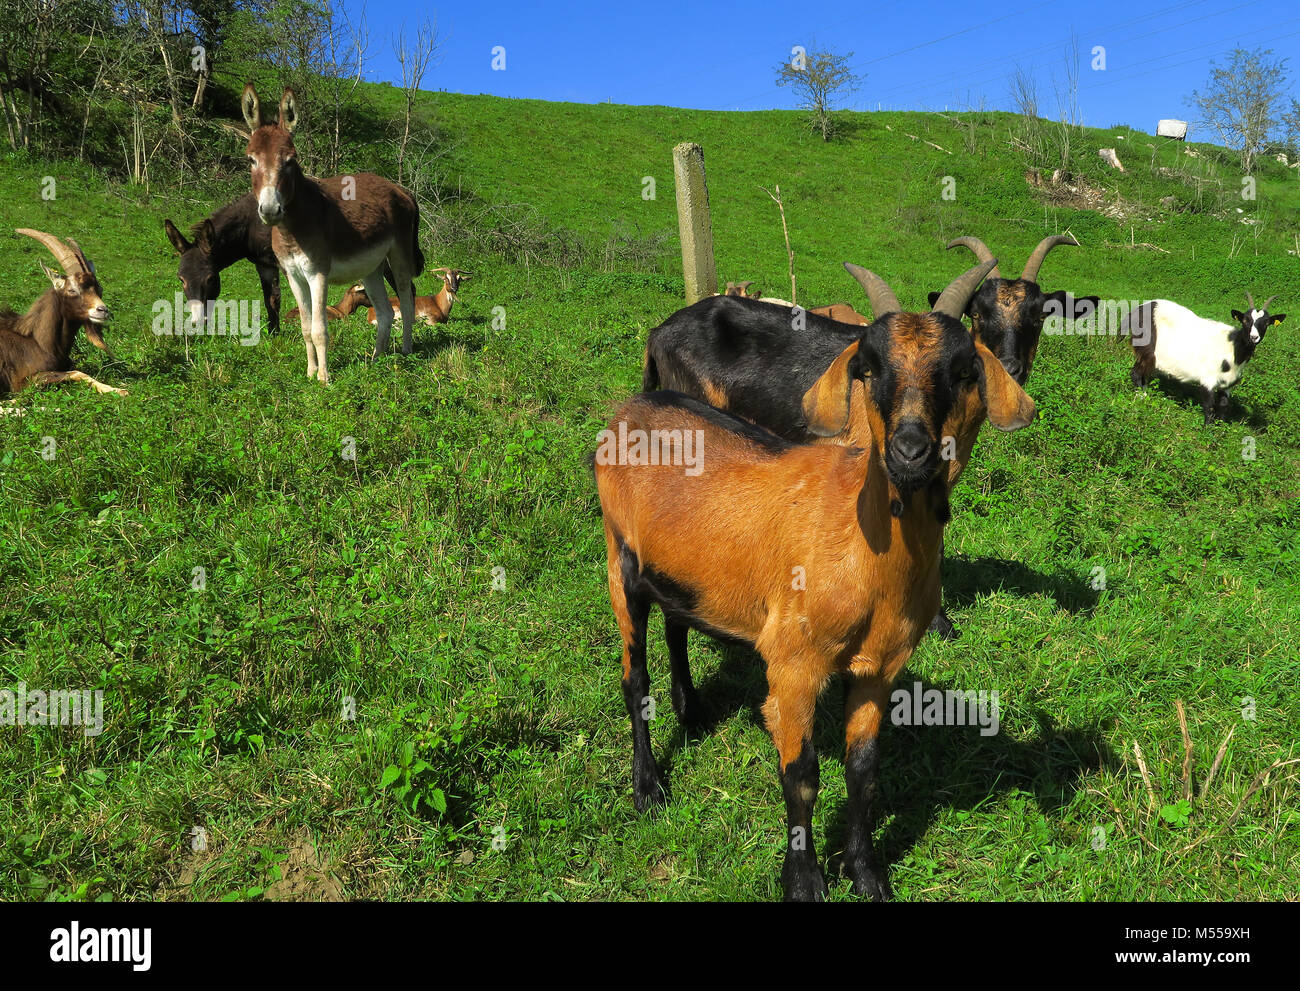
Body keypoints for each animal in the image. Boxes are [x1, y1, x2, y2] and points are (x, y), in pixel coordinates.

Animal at [1, 229, 126, 396]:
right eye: (72, 290)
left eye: (99, 288)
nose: (103, 310)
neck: (38, 342)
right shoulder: (24, 381)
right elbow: (79, 373)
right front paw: (116, 390)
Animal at [596, 259, 1034, 901]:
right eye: (868, 367)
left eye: (961, 369)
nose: (910, 450)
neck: (862, 551)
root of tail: (634, 406)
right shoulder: (794, 663)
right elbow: (800, 775)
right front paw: (803, 880)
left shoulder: (880, 666)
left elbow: (863, 771)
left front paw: (867, 873)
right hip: (618, 558)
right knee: (633, 678)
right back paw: (648, 788)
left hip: (680, 569)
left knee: (677, 622)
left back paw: (691, 708)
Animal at [1121, 293, 1284, 425]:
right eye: (1245, 320)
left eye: (1266, 323)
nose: (1253, 337)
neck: (1233, 348)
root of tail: (1137, 311)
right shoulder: (1208, 378)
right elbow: (1209, 406)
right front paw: (1207, 432)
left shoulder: (1227, 384)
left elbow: (1224, 405)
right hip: (1148, 351)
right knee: (1136, 374)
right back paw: (1142, 400)